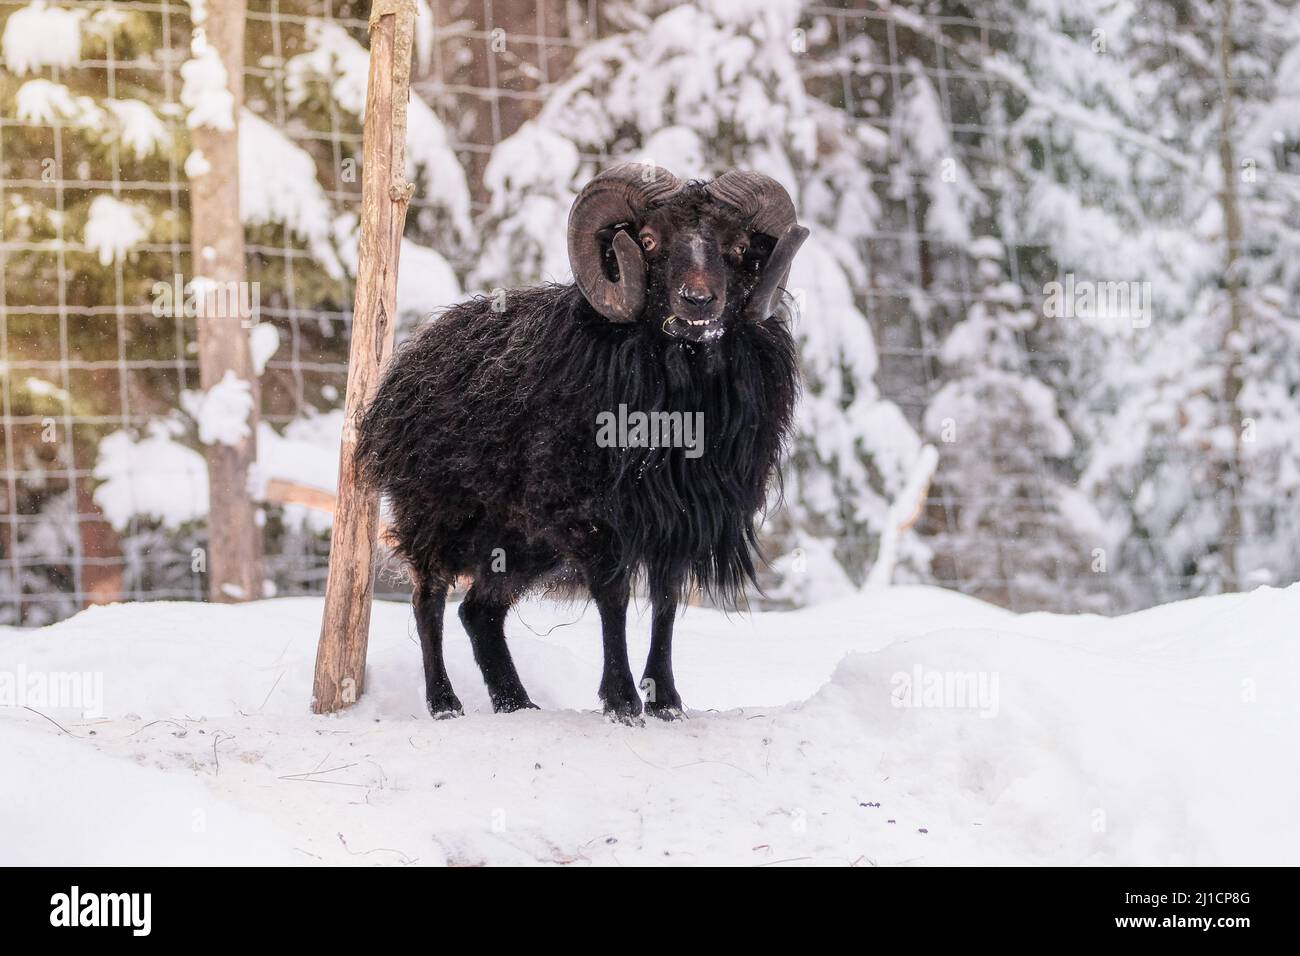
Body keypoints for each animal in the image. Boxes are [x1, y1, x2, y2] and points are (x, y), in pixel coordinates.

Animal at [356, 164, 808, 720]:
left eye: (739, 245)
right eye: (649, 240)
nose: (698, 303)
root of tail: (402, 370)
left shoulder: (679, 520)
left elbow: (666, 603)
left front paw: (667, 701)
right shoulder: (597, 518)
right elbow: (613, 600)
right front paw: (622, 702)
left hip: (522, 541)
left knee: (480, 611)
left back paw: (516, 702)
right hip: (438, 514)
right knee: (430, 599)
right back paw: (445, 703)